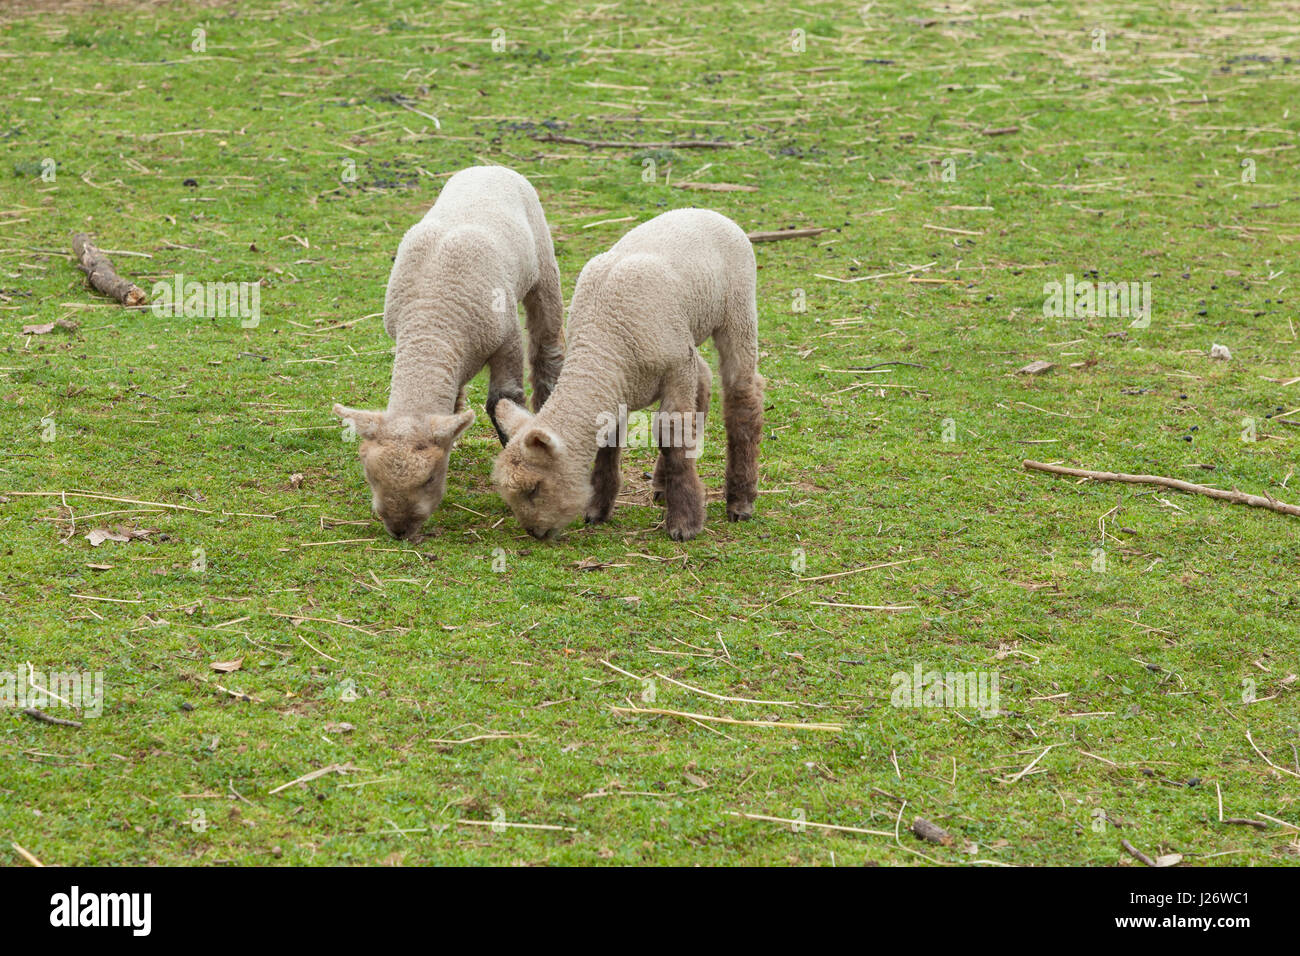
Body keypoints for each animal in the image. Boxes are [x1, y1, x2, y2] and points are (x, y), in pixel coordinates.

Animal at [332, 165, 565, 539]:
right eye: (369, 475)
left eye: (428, 479)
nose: (399, 530)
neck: (433, 318)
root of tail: (488, 166)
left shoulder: (507, 339)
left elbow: (503, 401)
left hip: (542, 265)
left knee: (547, 342)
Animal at [491, 208, 763, 541]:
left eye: (533, 488)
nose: (535, 532)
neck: (604, 337)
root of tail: (704, 211)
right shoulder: (617, 384)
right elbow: (610, 443)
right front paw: (598, 509)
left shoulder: (675, 370)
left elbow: (673, 438)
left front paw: (684, 522)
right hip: (688, 336)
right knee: (704, 380)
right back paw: (661, 485)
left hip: (737, 312)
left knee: (743, 398)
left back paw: (740, 501)